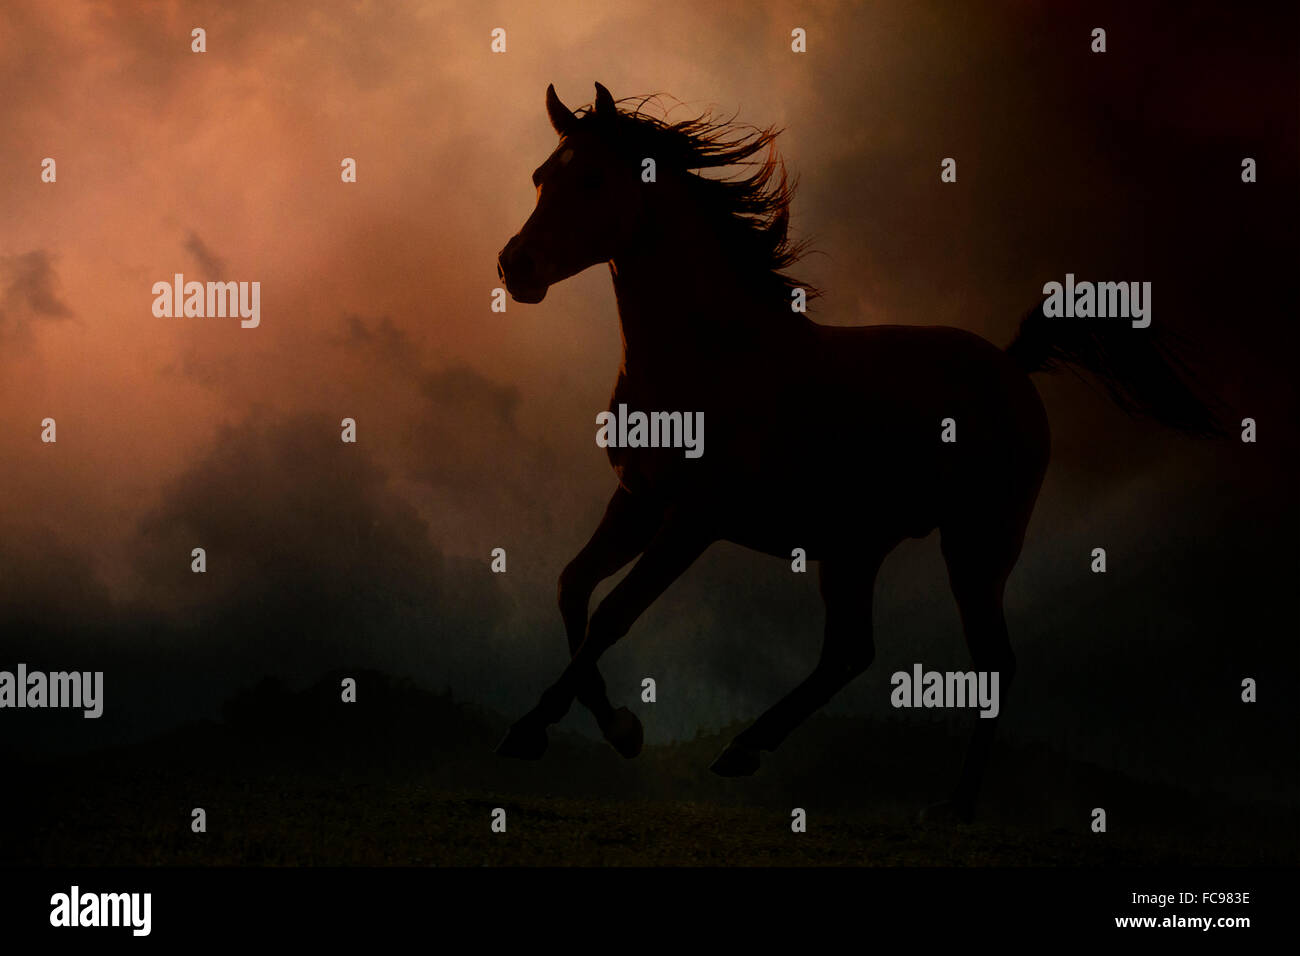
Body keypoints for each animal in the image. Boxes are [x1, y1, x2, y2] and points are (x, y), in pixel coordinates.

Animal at [495, 82, 1223, 821]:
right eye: (539, 177)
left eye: (592, 178)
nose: (515, 266)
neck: (710, 354)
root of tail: (1011, 366)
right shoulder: (639, 500)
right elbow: (574, 588)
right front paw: (618, 729)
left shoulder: (693, 520)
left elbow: (613, 612)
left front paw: (535, 730)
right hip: (855, 548)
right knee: (850, 652)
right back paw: (743, 750)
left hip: (976, 544)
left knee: (990, 661)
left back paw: (954, 805)